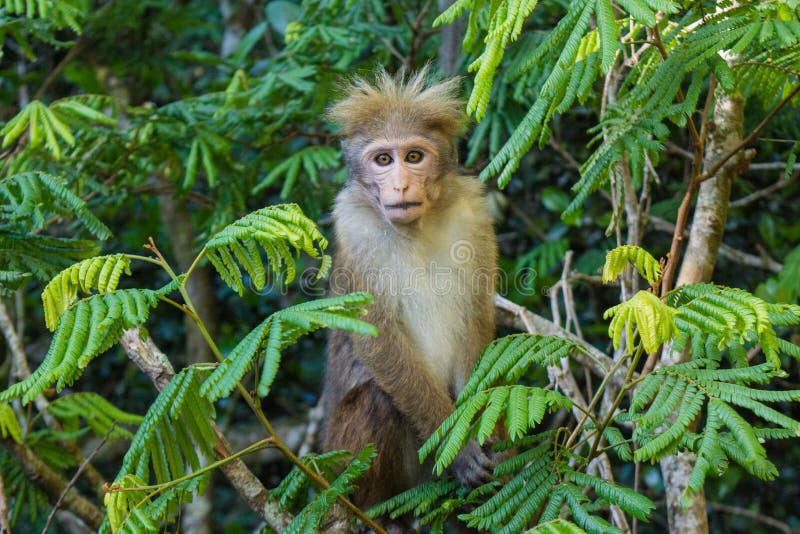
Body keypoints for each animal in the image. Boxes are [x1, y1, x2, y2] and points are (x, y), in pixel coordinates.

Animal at [321, 68, 498, 530]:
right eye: (384, 160)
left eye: (414, 156)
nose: (400, 184)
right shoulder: (354, 228)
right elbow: (379, 343)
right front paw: (460, 448)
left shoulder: (474, 215)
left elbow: (477, 321)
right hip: (342, 466)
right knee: (377, 398)